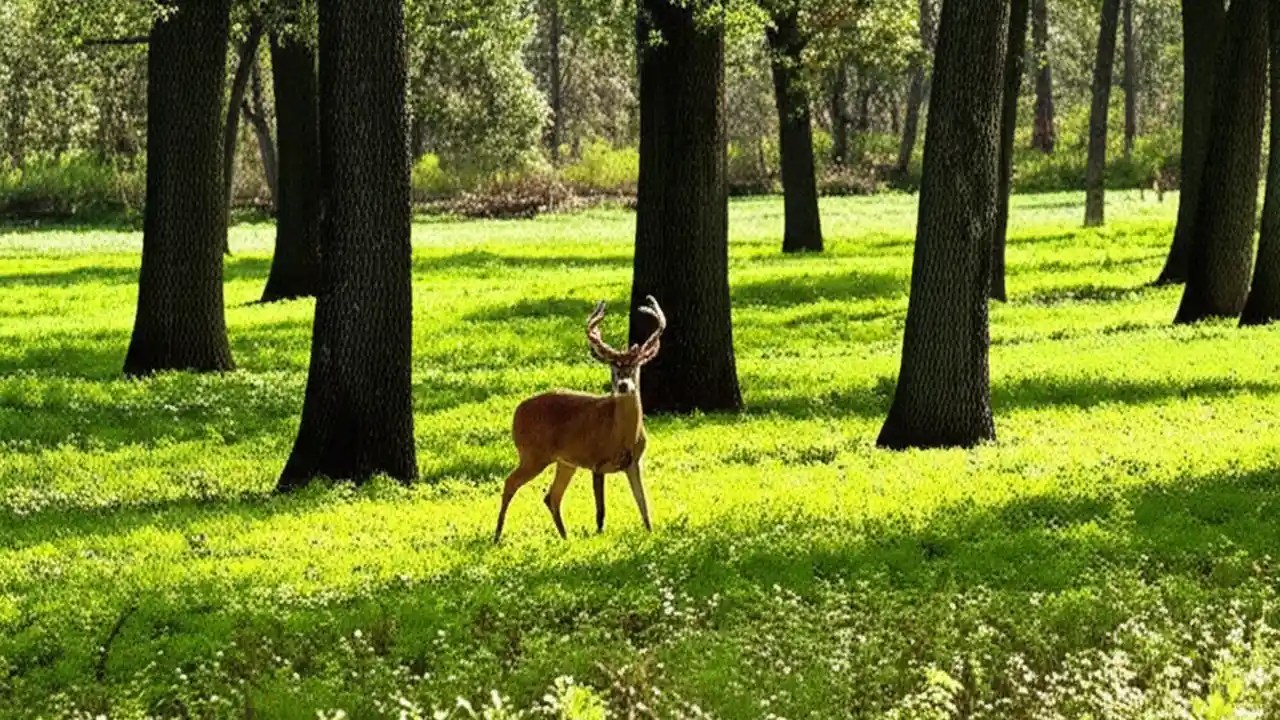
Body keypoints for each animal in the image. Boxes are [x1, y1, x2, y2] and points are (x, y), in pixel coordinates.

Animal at [493, 295, 666, 543]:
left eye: (635, 367)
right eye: (612, 367)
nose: (623, 385)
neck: (621, 435)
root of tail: (517, 412)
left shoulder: (634, 462)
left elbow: (643, 504)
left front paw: (651, 532)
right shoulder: (596, 460)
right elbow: (601, 510)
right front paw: (600, 534)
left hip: (565, 462)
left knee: (552, 496)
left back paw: (565, 537)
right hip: (532, 453)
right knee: (510, 483)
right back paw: (497, 535)